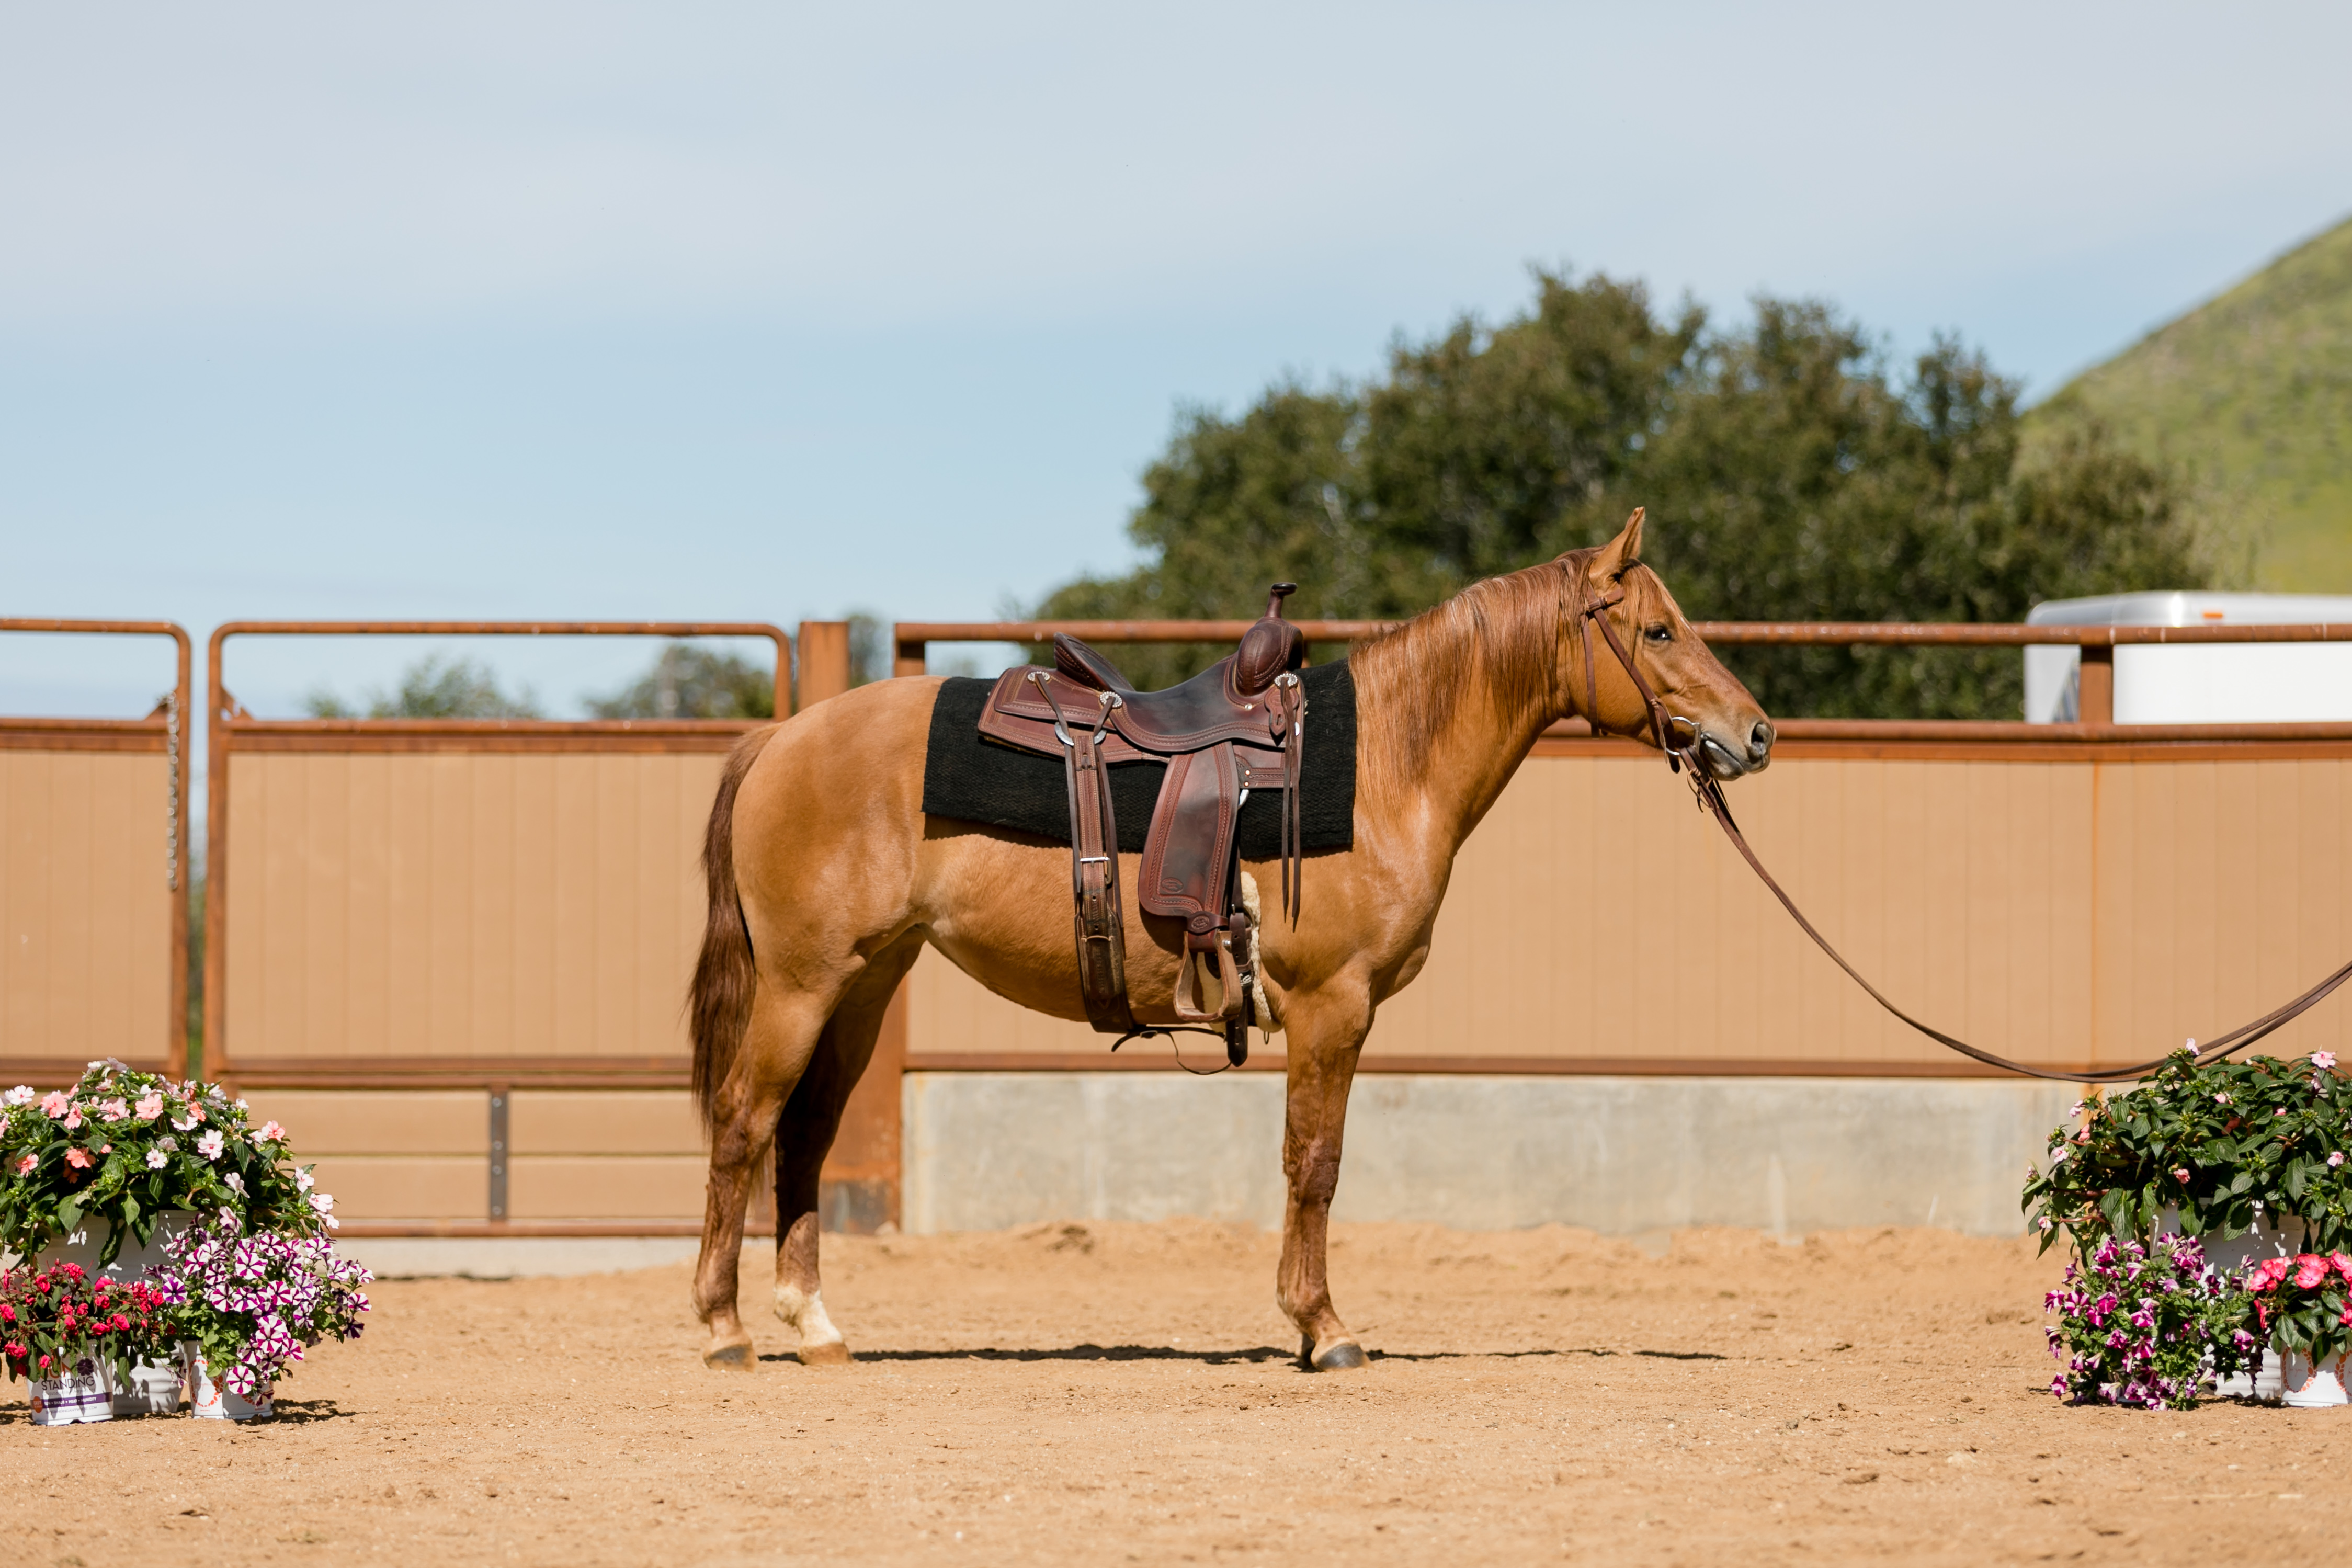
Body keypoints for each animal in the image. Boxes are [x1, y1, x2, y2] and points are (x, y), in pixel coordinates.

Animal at [687, 507, 1774, 1371]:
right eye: (1658, 628)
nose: (1756, 733)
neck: (1384, 762)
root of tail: (780, 737)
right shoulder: (1334, 1004)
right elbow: (1315, 1161)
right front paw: (1323, 1327)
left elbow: (1308, 1160)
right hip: (801, 984)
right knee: (743, 1122)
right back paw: (723, 1328)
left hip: (862, 986)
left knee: (803, 1133)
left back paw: (815, 1325)